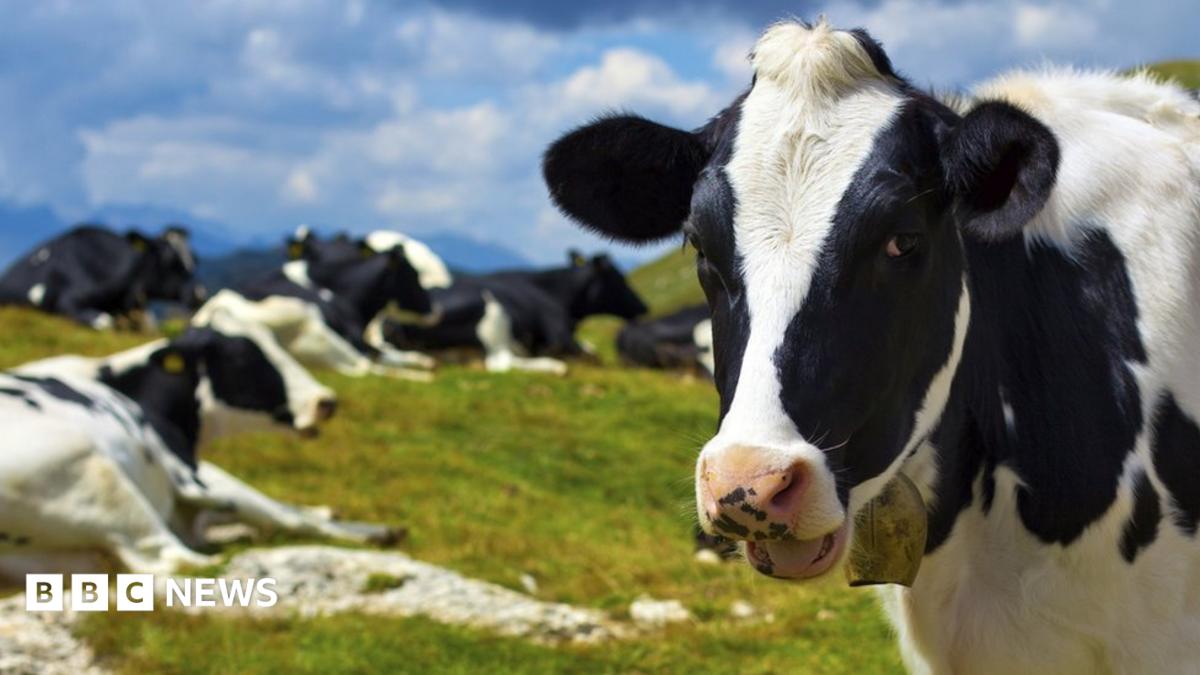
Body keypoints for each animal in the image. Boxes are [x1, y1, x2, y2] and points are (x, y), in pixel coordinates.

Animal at [2, 309, 402, 575]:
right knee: (181, 560)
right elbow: (288, 516)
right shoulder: (192, 475)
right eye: (242, 358)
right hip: (103, 479)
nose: (325, 401)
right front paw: (372, 531)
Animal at [194, 239, 436, 380]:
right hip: (310, 322)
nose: (434, 310)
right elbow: (383, 355)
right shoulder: (355, 338)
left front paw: (423, 359)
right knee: (366, 367)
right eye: (413, 274)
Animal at [383, 252, 648, 374]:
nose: (644, 306)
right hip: (496, 316)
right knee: (503, 363)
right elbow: (590, 352)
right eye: (619, 278)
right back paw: (554, 366)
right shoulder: (560, 332)